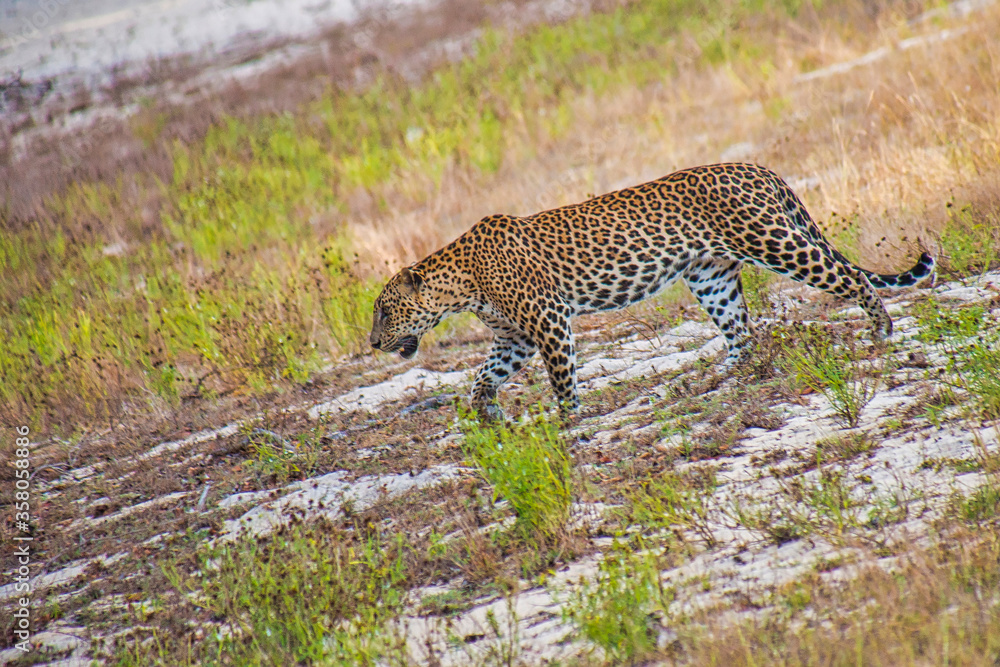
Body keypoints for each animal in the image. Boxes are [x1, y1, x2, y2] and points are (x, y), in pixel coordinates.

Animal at [369, 163, 934, 420]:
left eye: (384, 312)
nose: (373, 343)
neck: (462, 285)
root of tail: (758, 168)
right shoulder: (514, 338)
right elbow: (482, 378)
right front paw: (489, 416)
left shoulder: (548, 320)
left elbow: (561, 376)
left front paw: (569, 420)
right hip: (711, 276)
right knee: (741, 333)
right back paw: (717, 376)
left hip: (777, 244)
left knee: (853, 279)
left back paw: (881, 330)